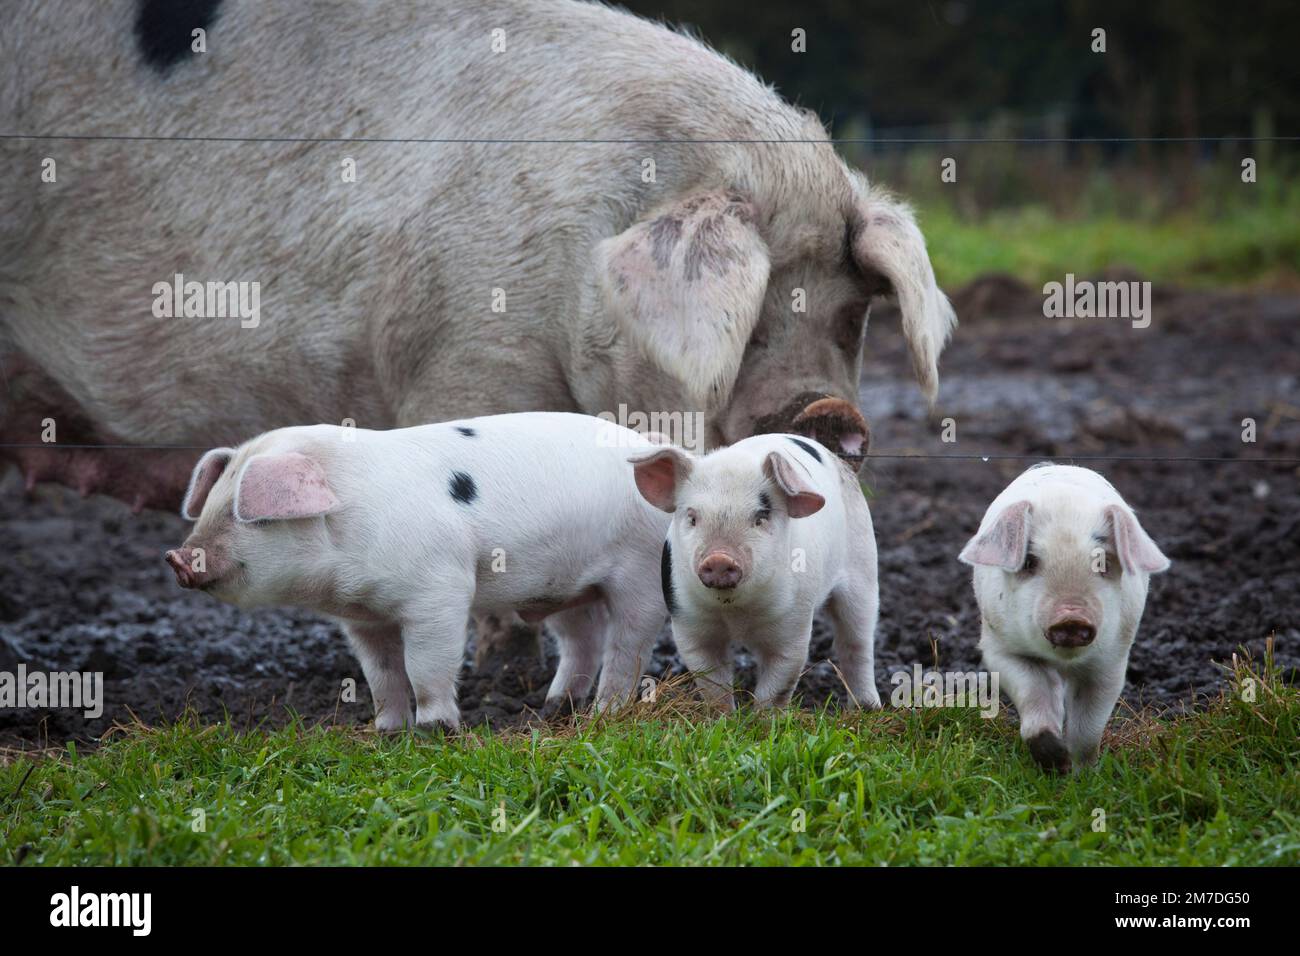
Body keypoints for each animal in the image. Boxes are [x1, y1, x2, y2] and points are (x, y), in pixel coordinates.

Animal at [164, 413, 671, 730]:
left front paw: (436, 731)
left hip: (641, 572)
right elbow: (381, 674)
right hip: (565, 584)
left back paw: (604, 715)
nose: (177, 558)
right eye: (211, 505)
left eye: (252, 517)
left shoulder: (439, 592)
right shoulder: (362, 618)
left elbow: (425, 666)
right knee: (581, 637)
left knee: (628, 642)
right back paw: (553, 711)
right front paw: (386, 732)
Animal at [629, 434, 880, 711]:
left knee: (857, 643)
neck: (736, 613)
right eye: (692, 517)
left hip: (864, 568)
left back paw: (868, 708)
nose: (719, 558)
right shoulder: (688, 624)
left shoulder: (794, 626)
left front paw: (763, 719)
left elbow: (777, 688)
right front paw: (723, 717)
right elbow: (712, 684)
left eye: (760, 518)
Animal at [958, 464, 1170, 772]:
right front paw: (1057, 761)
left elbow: (1089, 729)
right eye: (1029, 561)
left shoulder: (1112, 659)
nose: (1072, 618)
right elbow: (1034, 694)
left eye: (1103, 563)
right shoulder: (1000, 648)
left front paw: (1082, 773)